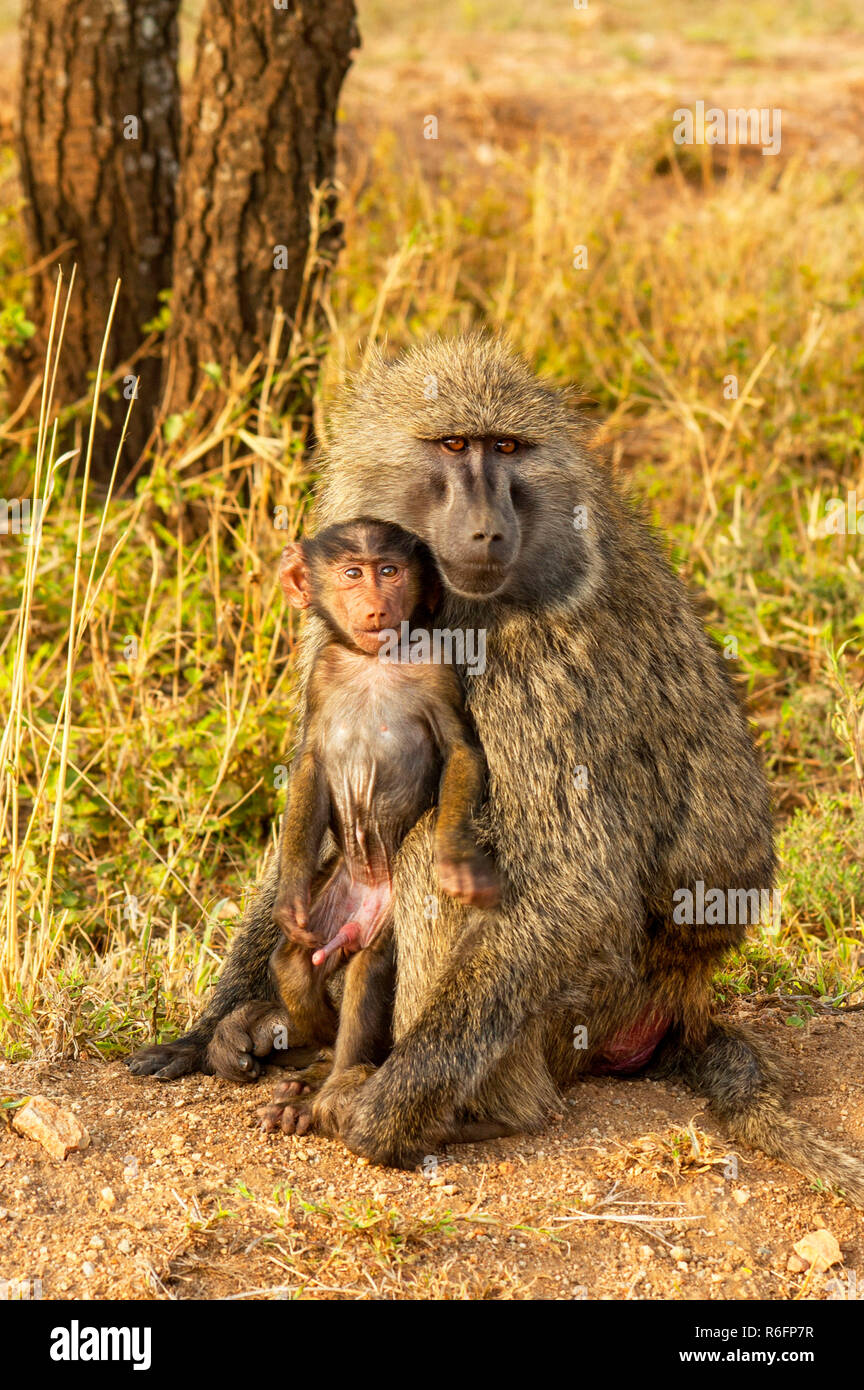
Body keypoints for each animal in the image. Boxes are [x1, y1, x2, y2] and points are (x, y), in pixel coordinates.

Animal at [252, 517, 498, 1136]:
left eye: (390, 570)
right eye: (352, 573)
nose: (375, 605)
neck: (372, 662)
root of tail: (363, 901)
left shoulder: (435, 672)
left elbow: (461, 753)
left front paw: (455, 860)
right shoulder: (323, 675)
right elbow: (311, 767)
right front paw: (287, 896)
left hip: (386, 914)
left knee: (368, 968)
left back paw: (330, 1084)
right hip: (336, 898)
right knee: (293, 964)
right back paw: (312, 1043)